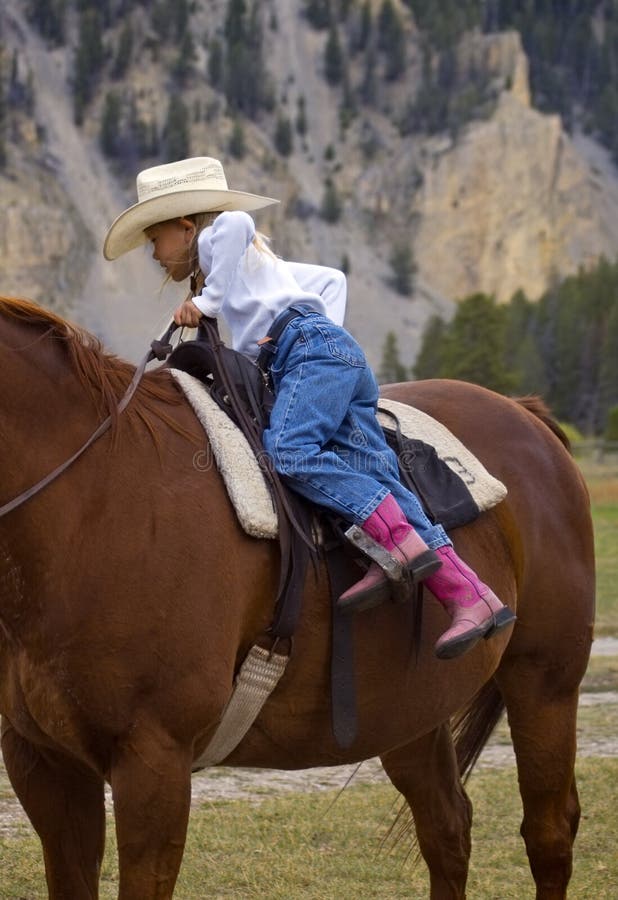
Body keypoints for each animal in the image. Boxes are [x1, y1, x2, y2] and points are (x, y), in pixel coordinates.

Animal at [0, 296, 594, 900]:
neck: (96, 501)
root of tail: (523, 413)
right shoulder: (41, 764)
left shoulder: (153, 761)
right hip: (411, 711)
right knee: (447, 828)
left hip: (545, 681)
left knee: (549, 830)